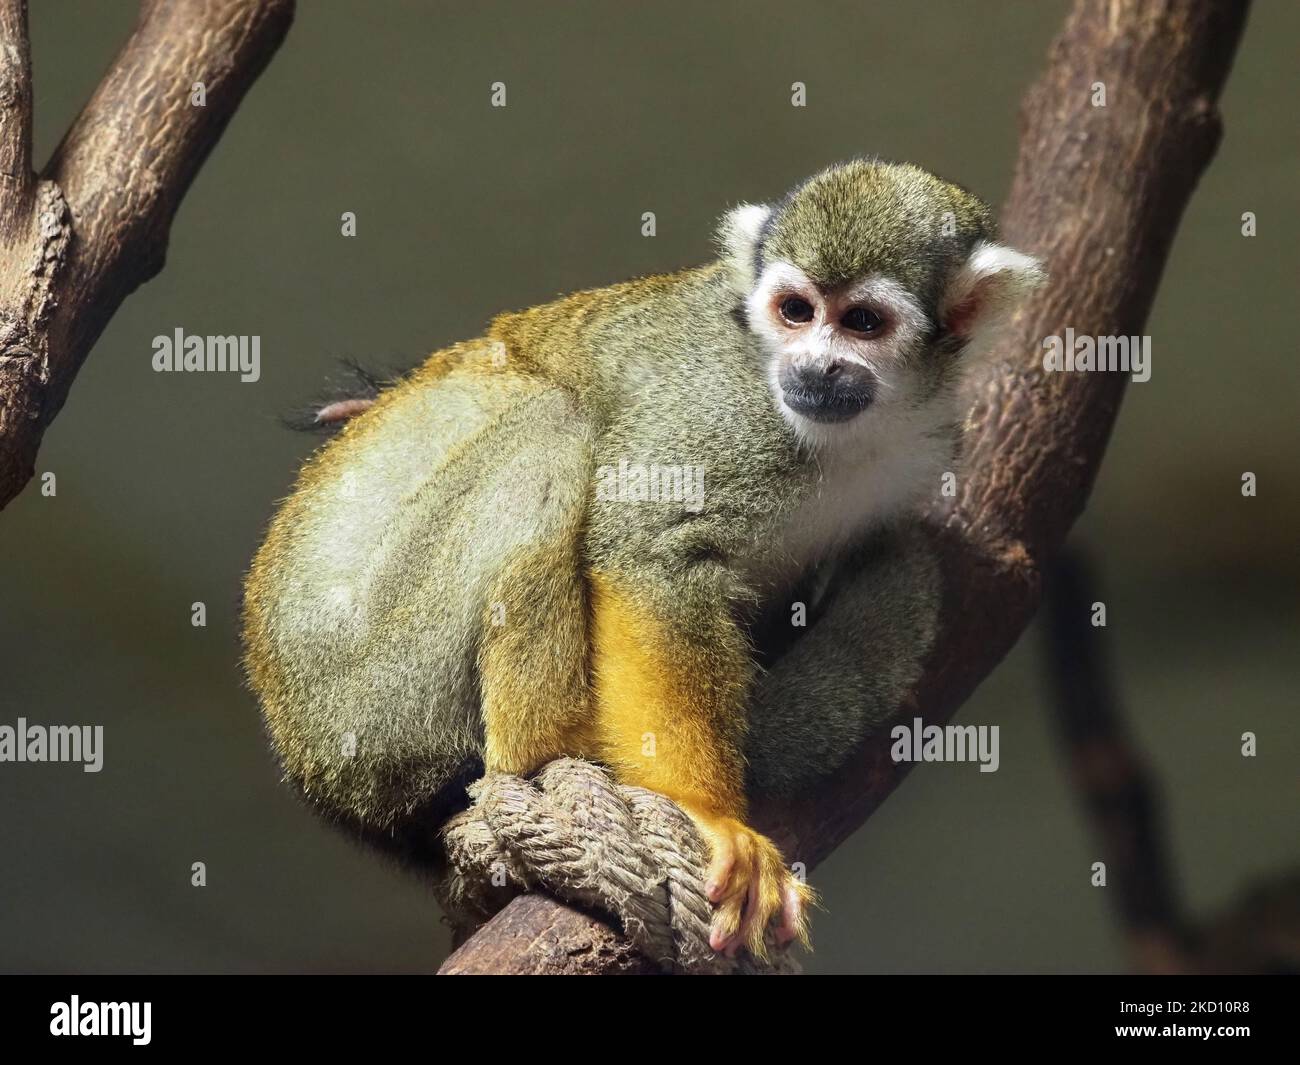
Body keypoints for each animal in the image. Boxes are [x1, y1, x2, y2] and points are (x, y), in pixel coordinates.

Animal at [242, 158, 1044, 959]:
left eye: (864, 323)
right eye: (796, 310)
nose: (815, 366)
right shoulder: (723, 412)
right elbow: (648, 553)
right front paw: (705, 811)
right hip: (369, 683)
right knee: (552, 427)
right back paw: (545, 756)